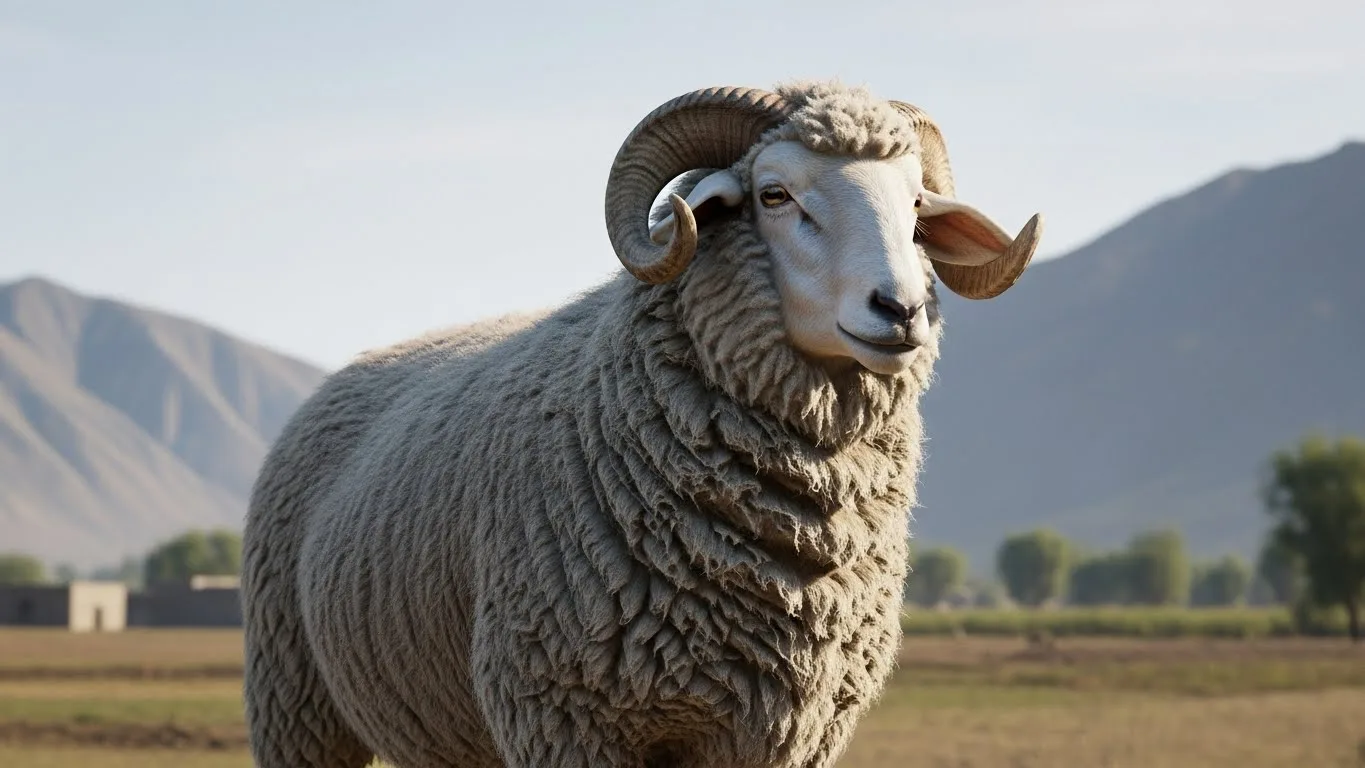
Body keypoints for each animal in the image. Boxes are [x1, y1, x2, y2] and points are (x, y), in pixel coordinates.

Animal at [240, 79, 1043, 768]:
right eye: (774, 194)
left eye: (916, 207)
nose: (899, 309)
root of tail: (352, 367)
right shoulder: (563, 716)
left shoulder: (777, 732)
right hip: (296, 704)